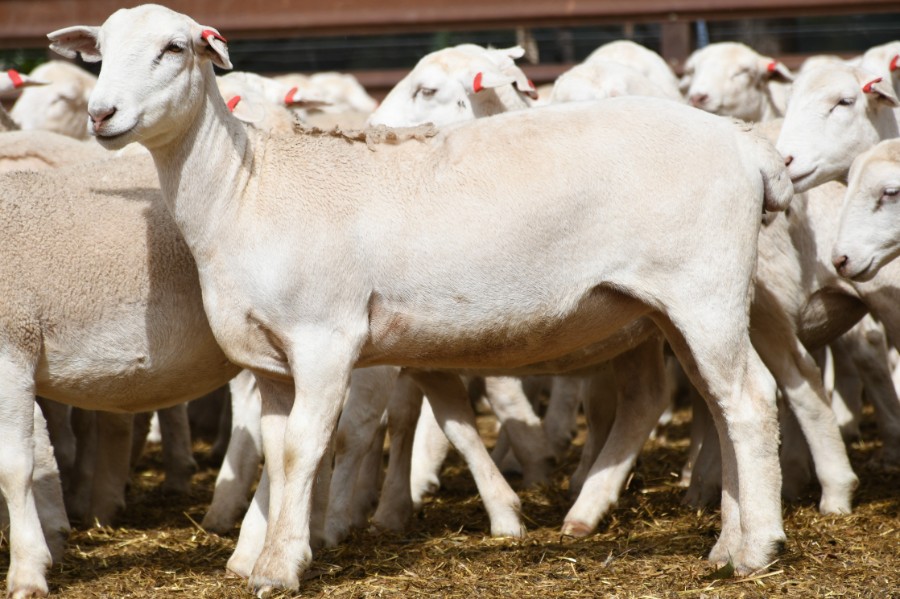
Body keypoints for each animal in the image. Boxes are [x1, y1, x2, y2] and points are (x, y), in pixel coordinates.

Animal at [54, 5, 793, 592]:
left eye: (174, 48)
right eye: (101, 52)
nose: (101, 114)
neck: (246, 189)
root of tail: (743, 145)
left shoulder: (325, 339)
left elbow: (305, 450)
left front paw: (283, 565)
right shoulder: (270, 362)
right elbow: (276, 452)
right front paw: (266, 553)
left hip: (704, 290)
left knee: (751, 401)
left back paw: (758, 550)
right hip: (677, 307)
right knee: (719, 406)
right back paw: (726, 543)